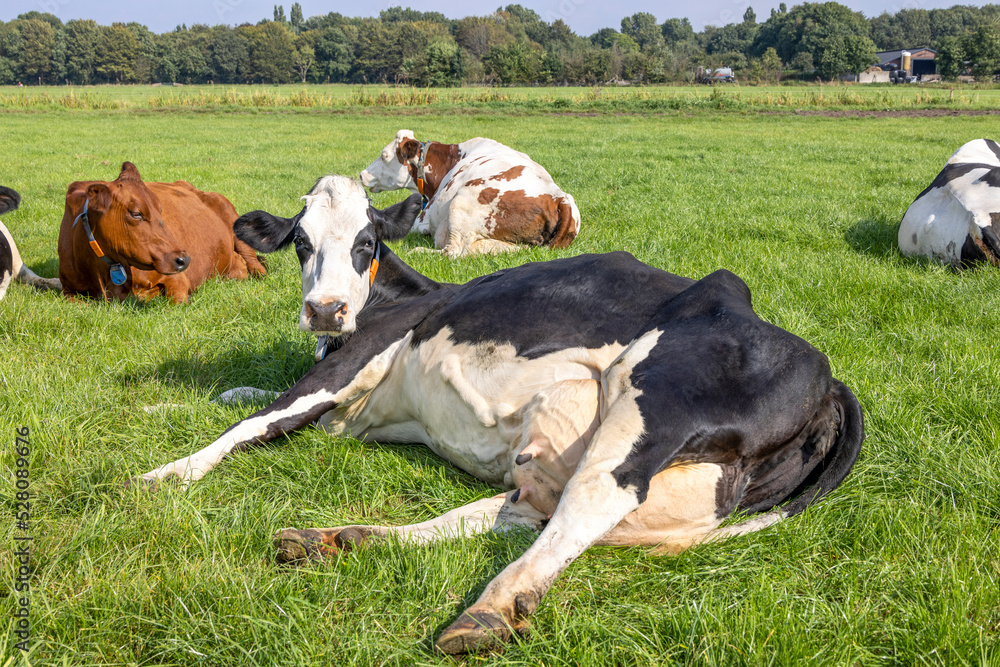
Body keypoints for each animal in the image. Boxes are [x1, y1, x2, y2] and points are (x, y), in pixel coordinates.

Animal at [57, 162, 266, 303]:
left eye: (160, 208)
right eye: (136, 213)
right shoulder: (68, 290)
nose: (184, 260)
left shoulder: (177, 279)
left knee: (255, 265)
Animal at [135, 175, 864, 654]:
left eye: (367, 241)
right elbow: (244, 395)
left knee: (594, 495)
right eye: (301, 243)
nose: (325, 310)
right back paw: (339, 539)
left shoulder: (350, 362)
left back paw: (489, 609)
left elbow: (256, 417)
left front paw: (165, 473)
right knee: (512, 514)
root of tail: (828, 374)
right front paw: (156, 402)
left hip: (656, 399)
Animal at [360, 130, 580, 258]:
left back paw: (418, 251)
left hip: (463, 201)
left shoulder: (423, 217)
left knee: (453, 251)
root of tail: (558, 197)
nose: (362, 174)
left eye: (384, 156)